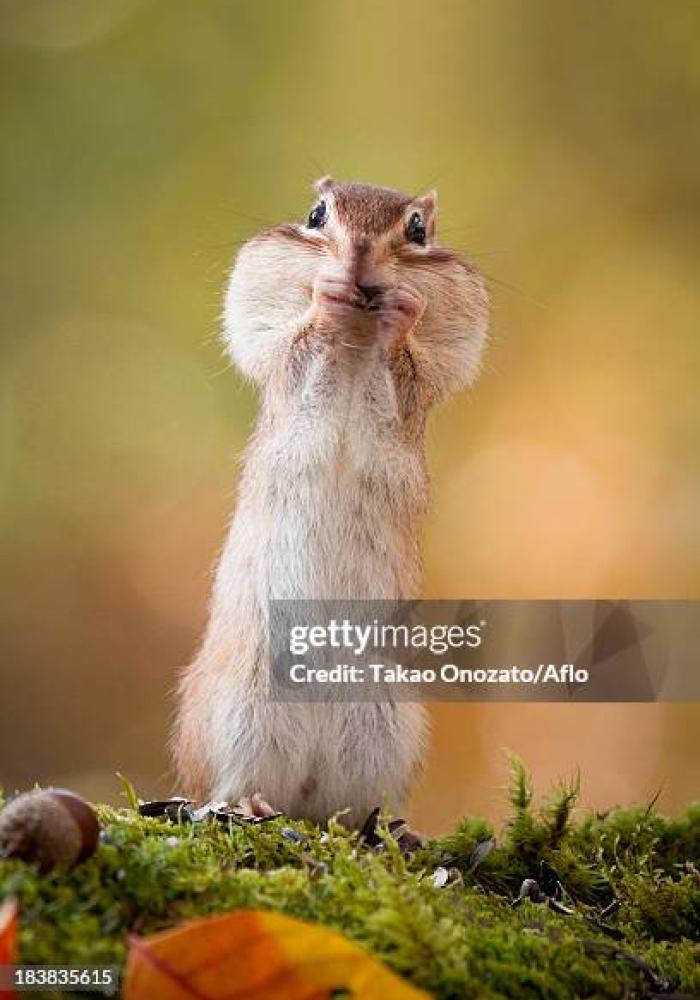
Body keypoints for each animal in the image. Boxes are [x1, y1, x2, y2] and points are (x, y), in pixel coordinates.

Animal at [173, 177, 489, 826]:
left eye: (417, 229)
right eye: (317, 214)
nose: (360, 258)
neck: (357, 338)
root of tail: (305, 790)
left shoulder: (434, 366)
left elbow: (409, 368)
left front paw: (400, 312)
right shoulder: (275, 343)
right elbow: (298, 347)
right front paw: (326, 298)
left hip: (388, 720)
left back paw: (386, 825)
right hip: (240, 708)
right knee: (230, 783)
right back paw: (249, 800)